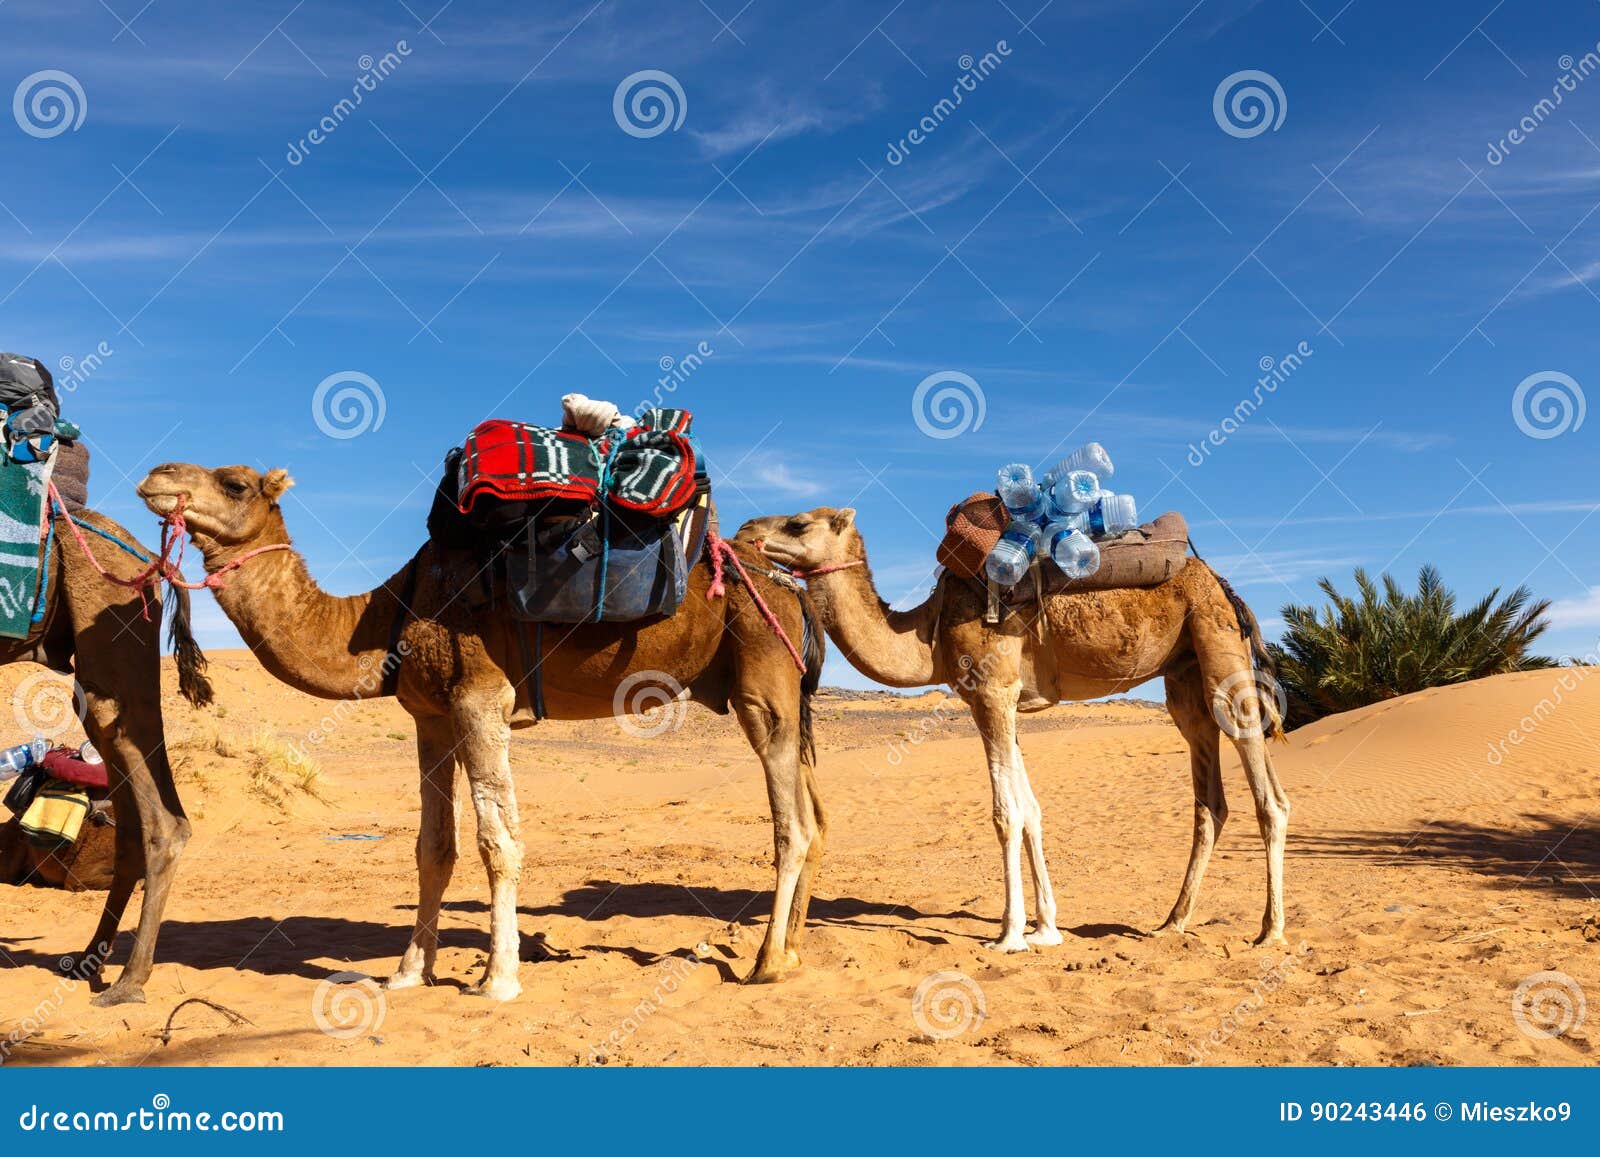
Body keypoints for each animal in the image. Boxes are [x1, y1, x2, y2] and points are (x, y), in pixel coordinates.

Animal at [136, 463, 825, 1001]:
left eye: (234, 483)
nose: (157, 476)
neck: (386, 618)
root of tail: (791, 588)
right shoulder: (432, 717)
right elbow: (433, 847)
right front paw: (408, 972)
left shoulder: (480, 699)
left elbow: (499, 842)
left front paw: (499, 978)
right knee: (811, 818)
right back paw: (792, 952)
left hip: (762, 672)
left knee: (790, 824)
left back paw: (766, 962)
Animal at [741, 507, 1289, 953]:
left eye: (797, 523)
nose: (746, 531)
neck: (929, 632)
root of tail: (1224, 584)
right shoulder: (1010, 703)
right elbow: (1031, 810)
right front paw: (1045, 928)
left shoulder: (991, 691)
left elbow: (1006, 813)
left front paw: (1009, 935)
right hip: (1183, 679)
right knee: (1209, 798)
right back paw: (1172, 923)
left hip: (1218, 650)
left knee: (1268, 793)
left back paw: (1270, 930)